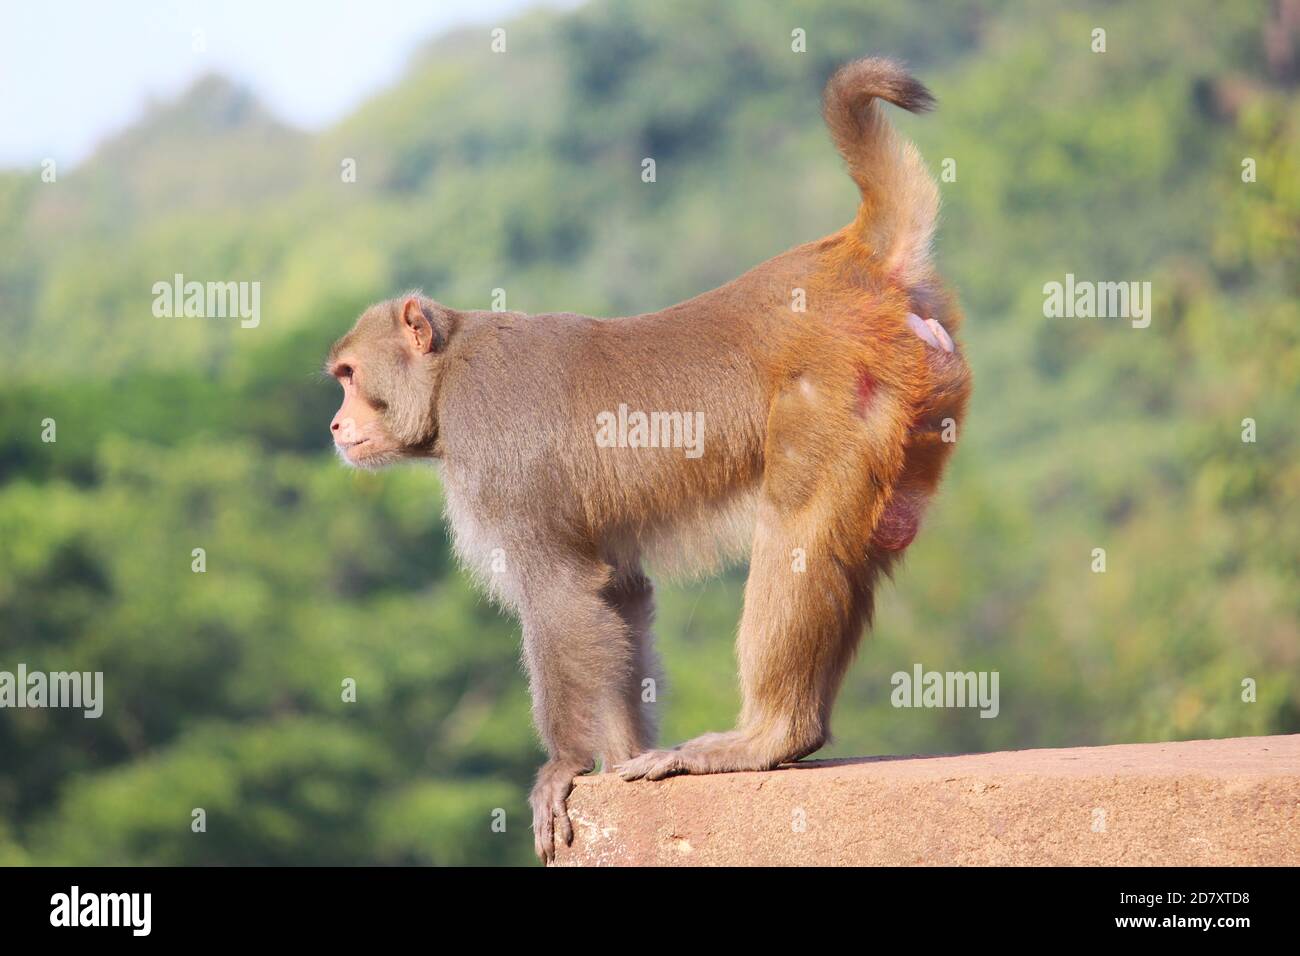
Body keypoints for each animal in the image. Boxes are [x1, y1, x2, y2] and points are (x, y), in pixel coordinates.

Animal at [325, 58, 971, 864]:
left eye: (349, 376)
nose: (335, 423)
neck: (448, 377)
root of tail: (850, 260)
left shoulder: (499, 461)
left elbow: (561, 595)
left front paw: (565, 766)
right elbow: (620, 595)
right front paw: (619, 755)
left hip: (838, 395)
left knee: (795, 531)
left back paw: (768, 738)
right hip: (920, 407)